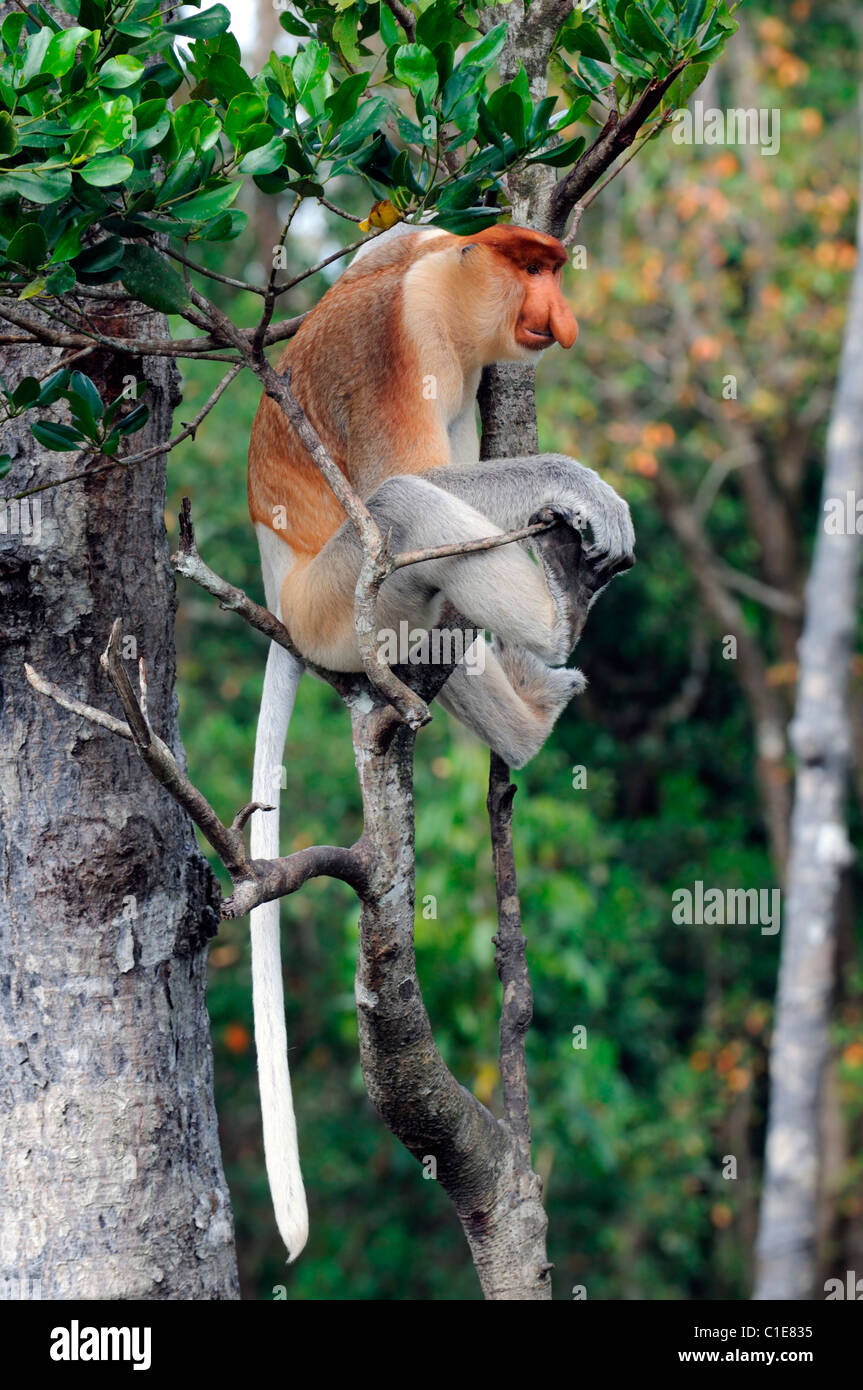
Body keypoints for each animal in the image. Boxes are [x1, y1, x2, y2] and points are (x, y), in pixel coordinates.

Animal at [245, 222, 635, 1260]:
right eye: (533, 271)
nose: (560, 318)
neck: (448, 288)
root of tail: (279, 600)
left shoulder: (405, 241)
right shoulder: (401, 340)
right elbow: (404, 476)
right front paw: (581, 489)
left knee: (443, 613)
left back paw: (529, 711)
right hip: (342, 608)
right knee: (405, 507)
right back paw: (556, 624)